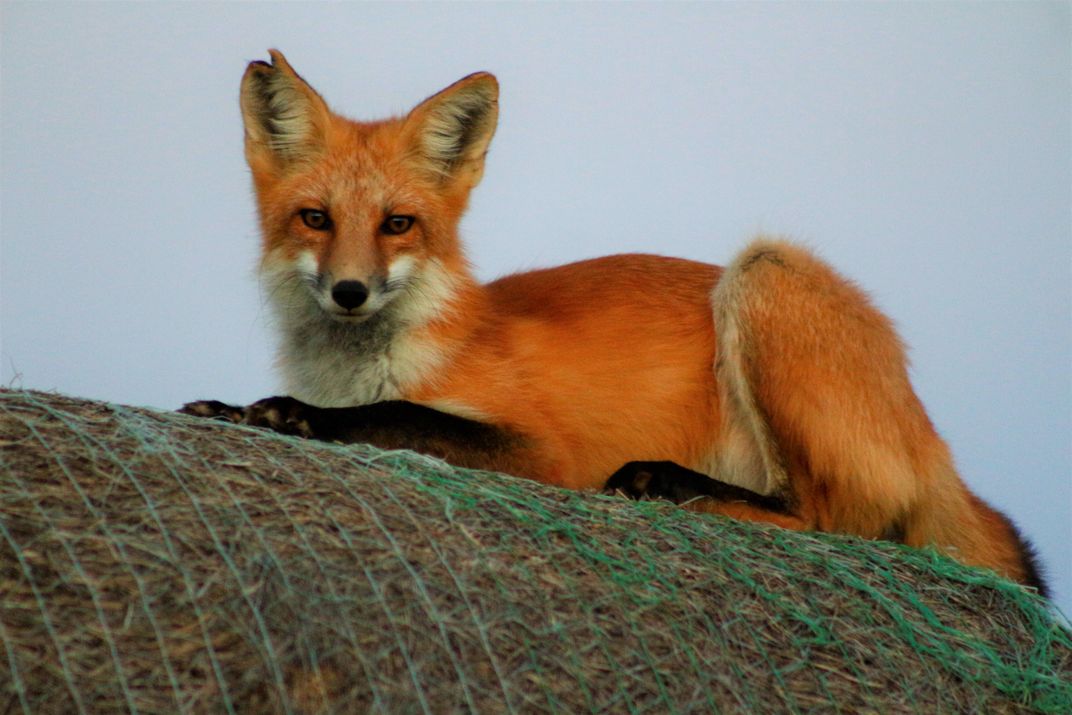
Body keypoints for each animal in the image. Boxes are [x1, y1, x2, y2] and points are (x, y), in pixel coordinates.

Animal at [183, 50, 1046, 595]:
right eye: (316, 219)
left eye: (398, 224)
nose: (351, 291)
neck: (353, 367)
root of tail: (932, 435)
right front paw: (233, 408)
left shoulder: (540, 450)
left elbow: (392, 415)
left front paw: (293, 415)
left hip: (764, 274)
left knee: (822, 517)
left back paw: (664, 481)